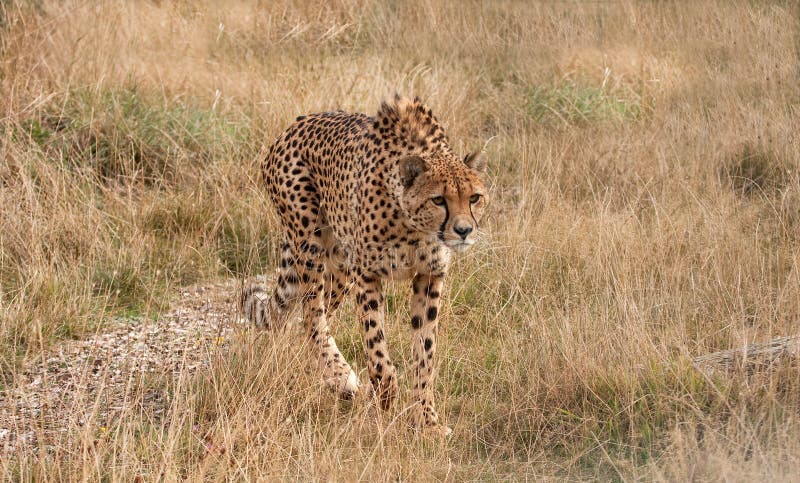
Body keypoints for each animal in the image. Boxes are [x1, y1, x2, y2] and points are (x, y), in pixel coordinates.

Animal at [240, 95, 488, 436]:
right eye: (438, 199)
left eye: (474, 198)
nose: (464, 230)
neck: (414, 228)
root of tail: (293, 126)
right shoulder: (367, 274)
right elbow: (377, 345)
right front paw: (385, 394)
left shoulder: (429, 277)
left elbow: (425, 352)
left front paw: (426, 421)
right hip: (310, 242)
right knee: (312, 314)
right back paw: (340, 376)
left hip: (341, 264)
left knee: (313, 317)